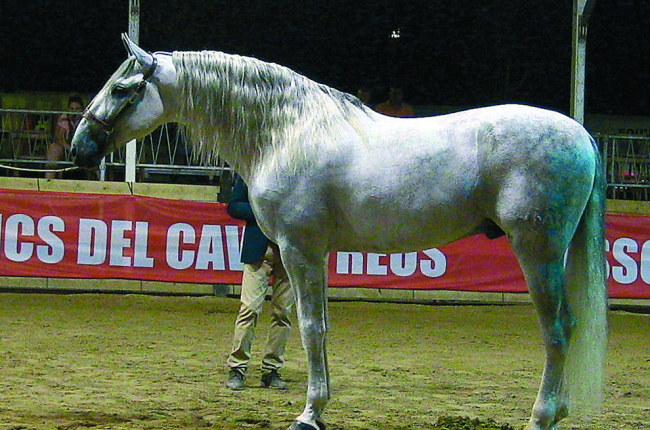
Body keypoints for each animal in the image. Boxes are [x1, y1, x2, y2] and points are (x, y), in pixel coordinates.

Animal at [71, 34, 607, 430]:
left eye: (121, 89)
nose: (80, 147)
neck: (286, 132)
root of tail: (582, 135)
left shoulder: (299, 249)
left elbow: (311, 329)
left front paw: (309, 415)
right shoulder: (314, 253)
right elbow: (321, 329)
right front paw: (318, 408)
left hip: (537, 250)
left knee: (558, 329)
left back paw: (540, 416)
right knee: (568, 326)